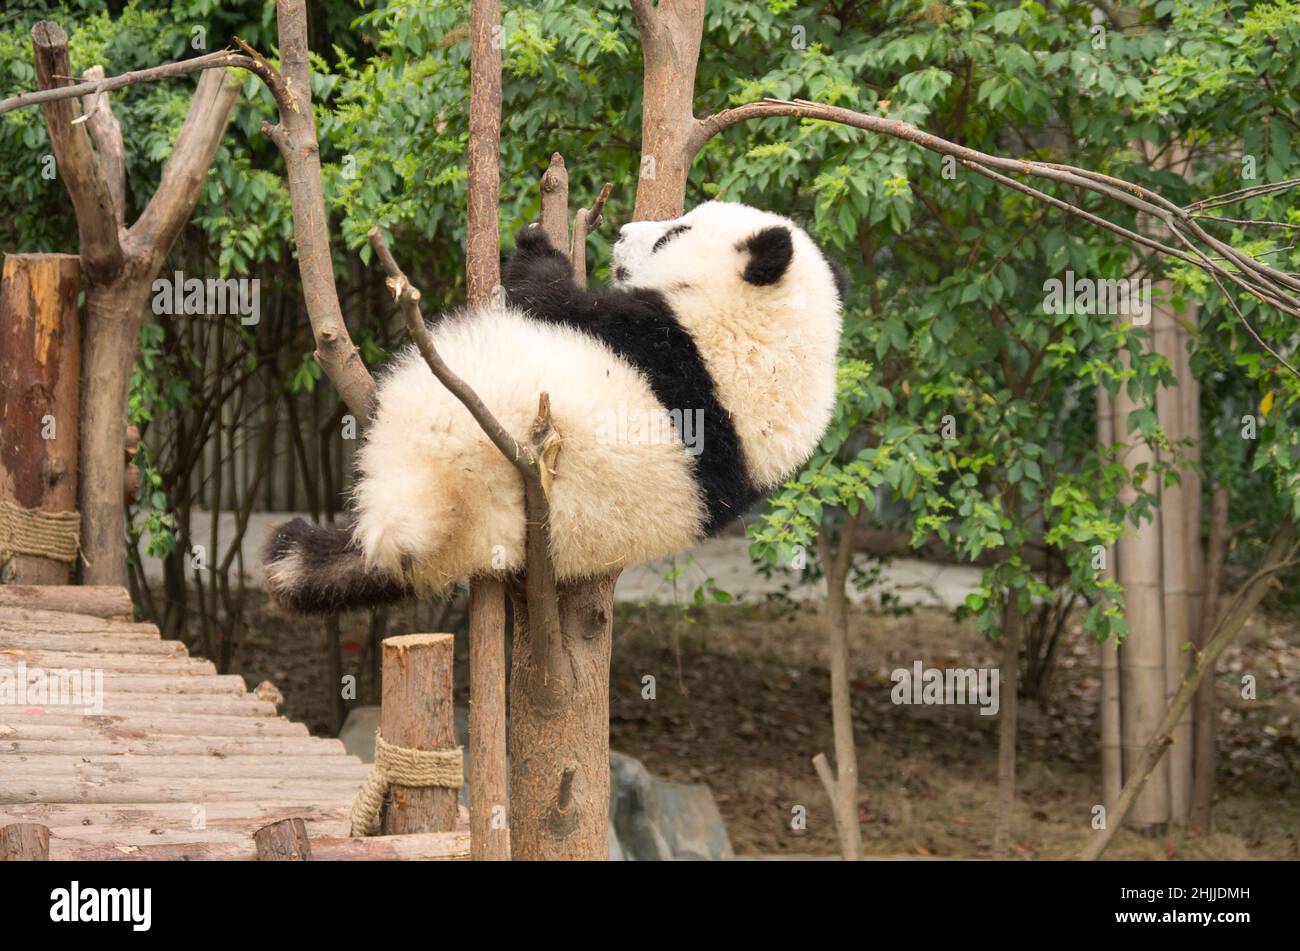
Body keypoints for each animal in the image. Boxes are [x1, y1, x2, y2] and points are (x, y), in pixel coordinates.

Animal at [264, 200, 845, 613]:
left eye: (675, 233)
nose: (622, 233)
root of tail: (439, 516)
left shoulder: (667, 337)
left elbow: (554, 301)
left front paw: (535, 246)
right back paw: (291, 552)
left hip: (445, 406)